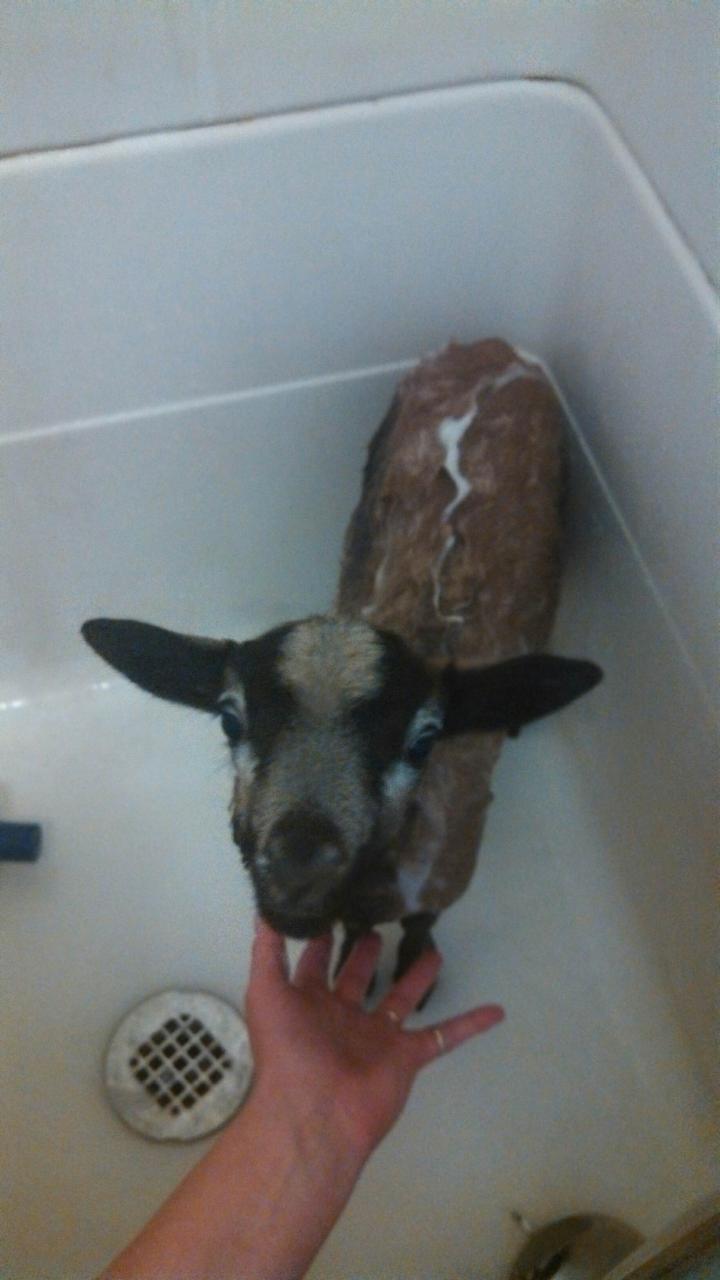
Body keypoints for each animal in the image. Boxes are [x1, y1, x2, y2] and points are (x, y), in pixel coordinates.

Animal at [81, 339, 602, 983]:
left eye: (424, 741)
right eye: (230, 719)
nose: (299, 863)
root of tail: (495, 348)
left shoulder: (447, 878)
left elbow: (421, 924)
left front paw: (413, 975)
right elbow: (359, 934)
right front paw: (357, 966)